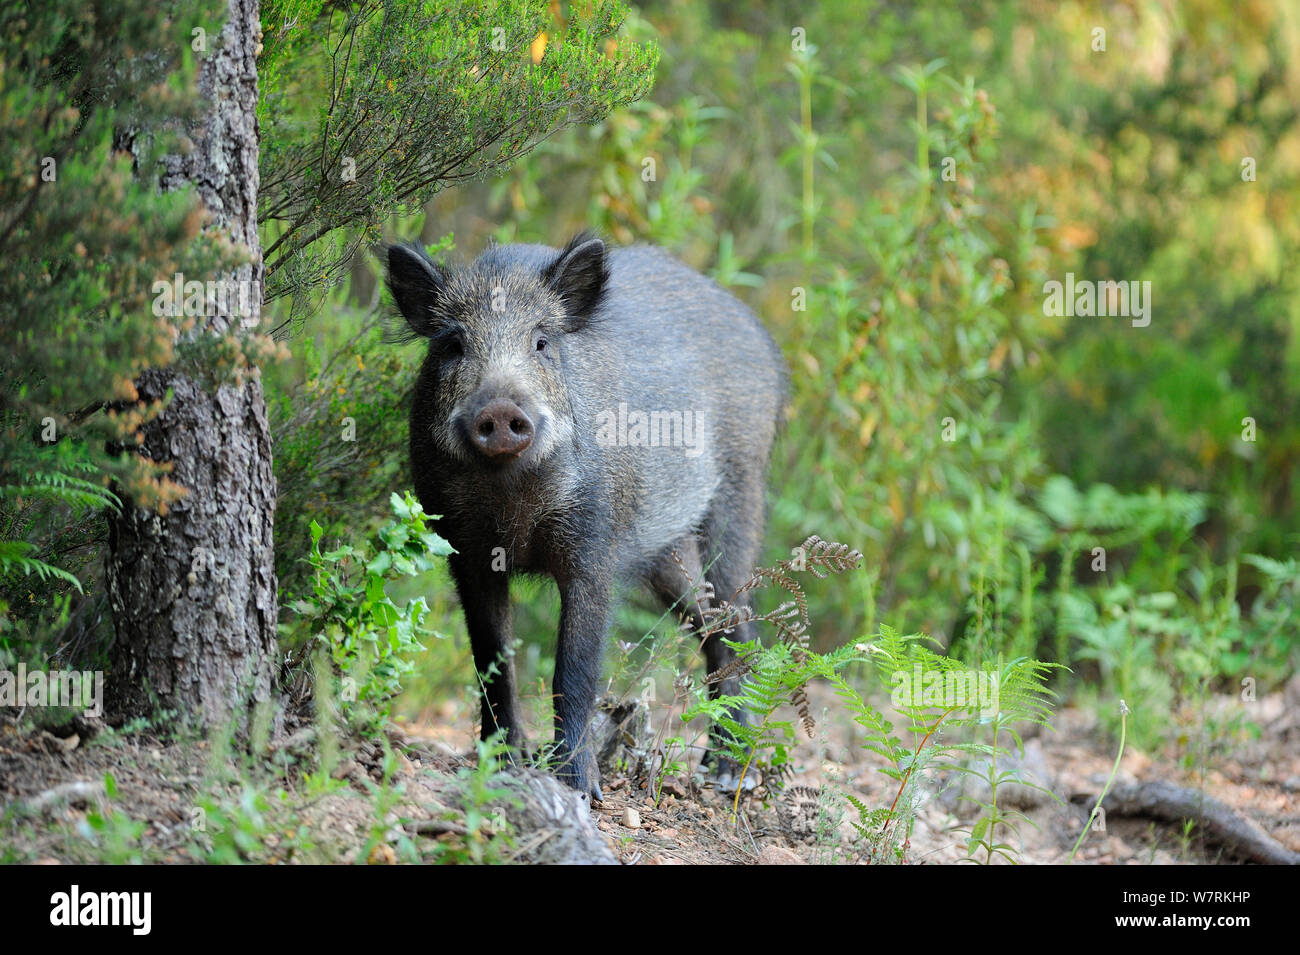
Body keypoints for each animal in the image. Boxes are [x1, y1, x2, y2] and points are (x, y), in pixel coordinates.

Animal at [386, 232, 786, 802]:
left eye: (542, 342)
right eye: (453, 344)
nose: (500, 409)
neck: (512, 501)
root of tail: (761, 337)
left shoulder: (594, 546)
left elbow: (572, 672)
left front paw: (580, 789)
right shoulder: (467, 552)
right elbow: (492, 661)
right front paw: (501, 766)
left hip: (740, 493)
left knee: (738, 622)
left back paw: (733, 775)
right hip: (667, 551)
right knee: (711, 621)